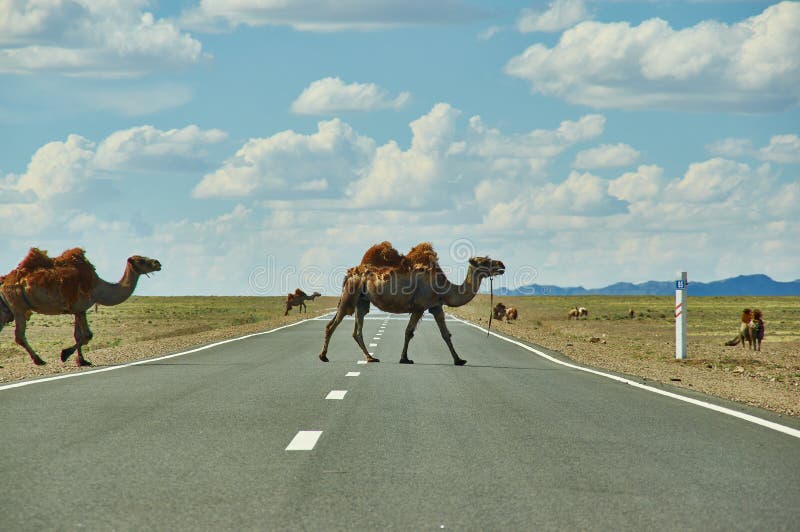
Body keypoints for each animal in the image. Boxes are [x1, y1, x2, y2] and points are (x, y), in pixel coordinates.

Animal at [0, 248, 161, 366]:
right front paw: (64, 355)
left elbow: (78, 335)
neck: (99, 289)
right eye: (141, 260)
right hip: (18, 306)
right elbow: (87, 335)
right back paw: (39, 360)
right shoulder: (81, 307)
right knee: (19, 335)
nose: (157, 263)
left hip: (7, 310)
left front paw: (82, 361)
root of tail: (4, 281)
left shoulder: (77, 310)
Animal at [319, 241, 504, 366]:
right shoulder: (419, 307)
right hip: (350, 295)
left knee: (357, 330)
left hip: (362, 301)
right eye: (484, 261)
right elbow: (409, 332)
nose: (501, 264)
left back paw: (371, 357)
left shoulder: (436, 306)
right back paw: (323, 356)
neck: (444, 288)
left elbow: (446, 334)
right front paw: (404, 358)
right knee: (332, 324)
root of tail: (350, 273)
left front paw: (459, 360)